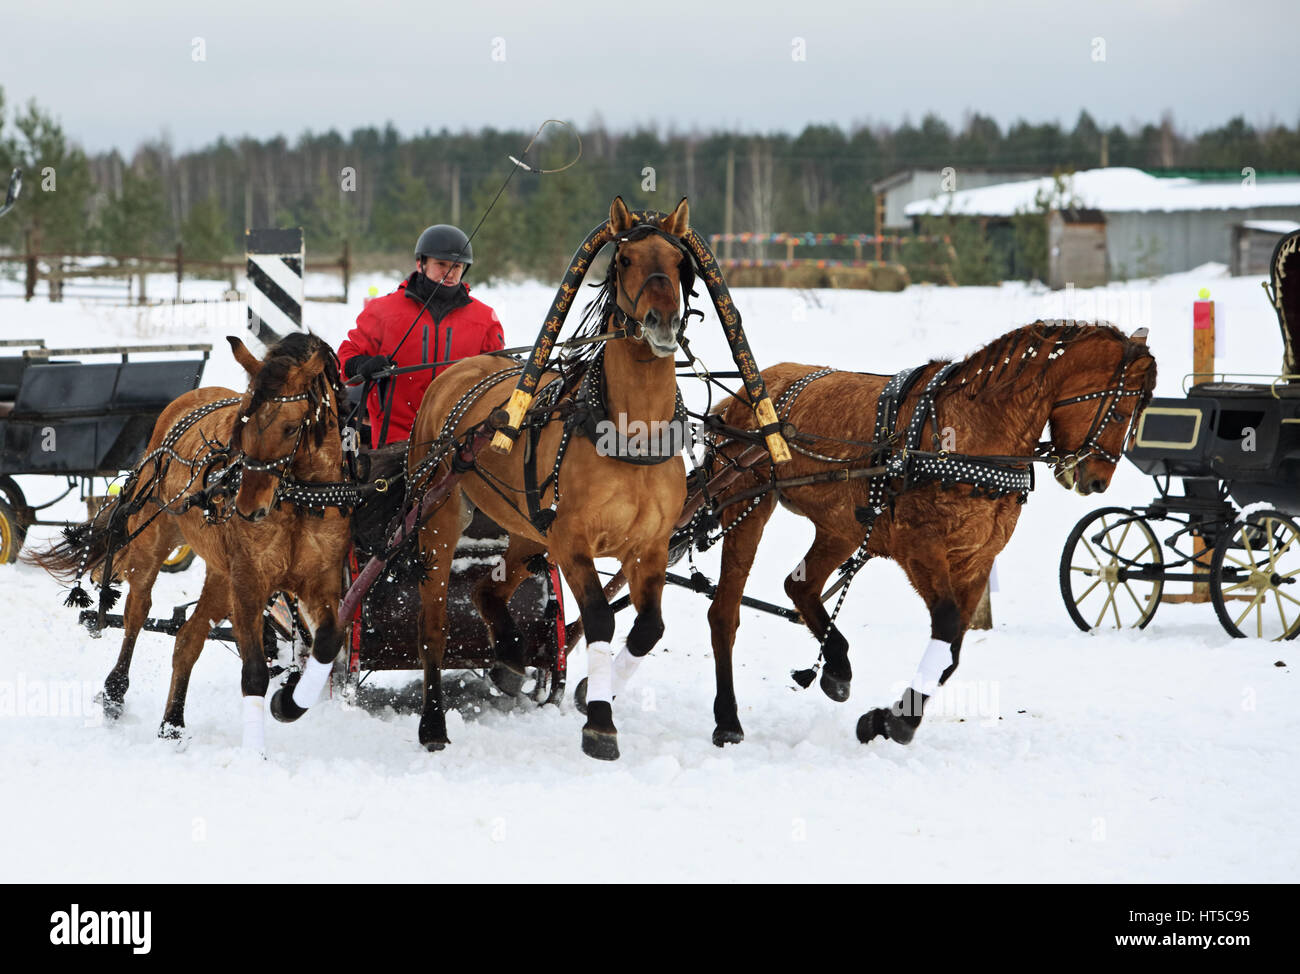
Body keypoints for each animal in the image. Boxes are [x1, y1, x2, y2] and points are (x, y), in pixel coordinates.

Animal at [30, 332, 350, 752]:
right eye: (243, 422)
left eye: (291, 427)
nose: (247, 508)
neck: (297, 498)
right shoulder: (249, 582)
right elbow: (254, 672)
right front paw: (255, 754)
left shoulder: (321, 579)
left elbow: (328, 642)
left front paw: (290, 701)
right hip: (154, 538)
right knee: (137, 610)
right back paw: (116, 691)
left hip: (219, 572)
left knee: (188, 638)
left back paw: (172, 724)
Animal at [401, 196, 691, 760]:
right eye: (625, 259)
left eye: (678, 260)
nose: (662, 321)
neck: (630, 433)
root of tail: (454, 371)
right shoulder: (572, 542)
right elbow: (601, 618)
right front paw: (600, 722)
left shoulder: (649, 547)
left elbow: (648, 628)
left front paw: (596, 693)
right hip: (440, 515)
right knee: (433, 625)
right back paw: (433, 724)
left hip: (526, 527)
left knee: (487, 592)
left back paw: (509, 660)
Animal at [704, 321, 1157, 747]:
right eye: (1121, 412)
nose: (1098, 480)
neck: (975, 434)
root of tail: (739, 397)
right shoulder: (920, 547)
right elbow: (947, 622)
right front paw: (898, 720)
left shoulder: (977, 557)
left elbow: (953, 648)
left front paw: (889, 718)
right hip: (747, 505)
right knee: (724, 612)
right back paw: (728, 720)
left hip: (841, 525)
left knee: (799, 587)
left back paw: (837, 666)